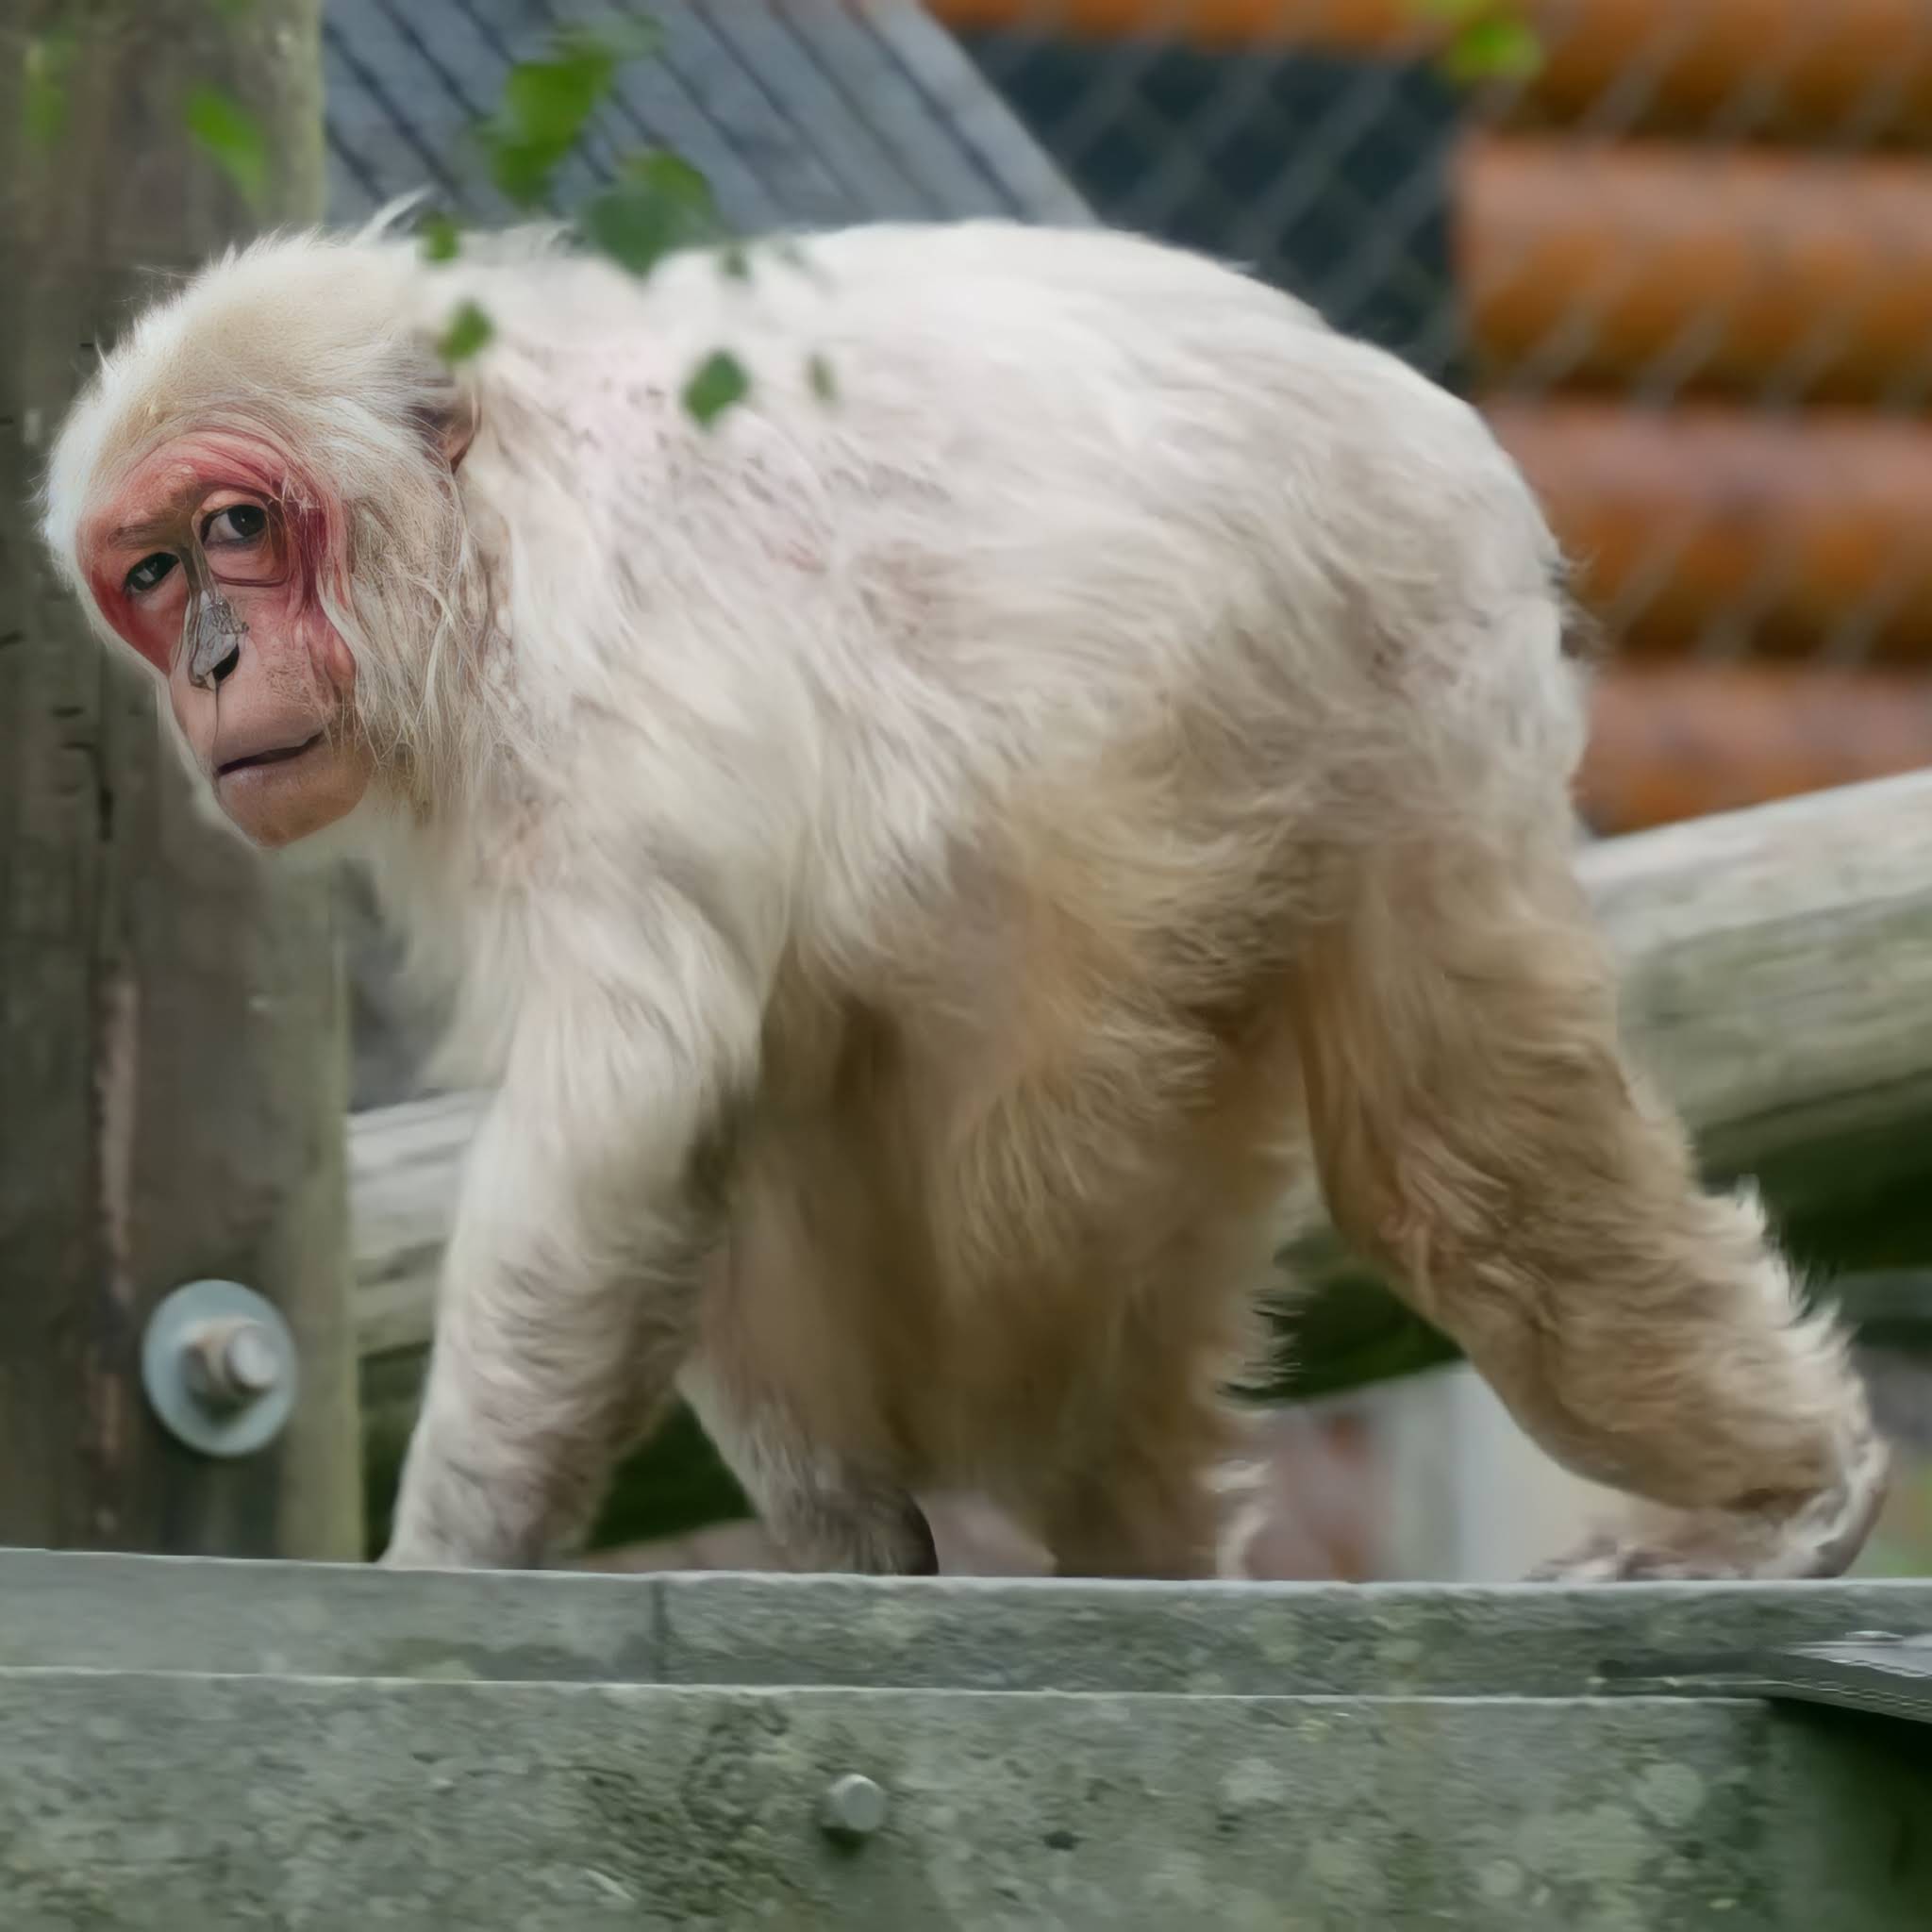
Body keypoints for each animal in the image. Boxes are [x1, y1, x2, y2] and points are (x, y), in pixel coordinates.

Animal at [41, 212, 1887, 1585]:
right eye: (157, 573)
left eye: (241, 527)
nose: (211, 664)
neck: (484, 526)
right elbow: (690, 1125)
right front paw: (845, 1526)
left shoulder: (601, 687)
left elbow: (626, 1112)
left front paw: (453, 1570)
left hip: (1402, 657)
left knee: (1449, 1155)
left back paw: (1779, 1499)